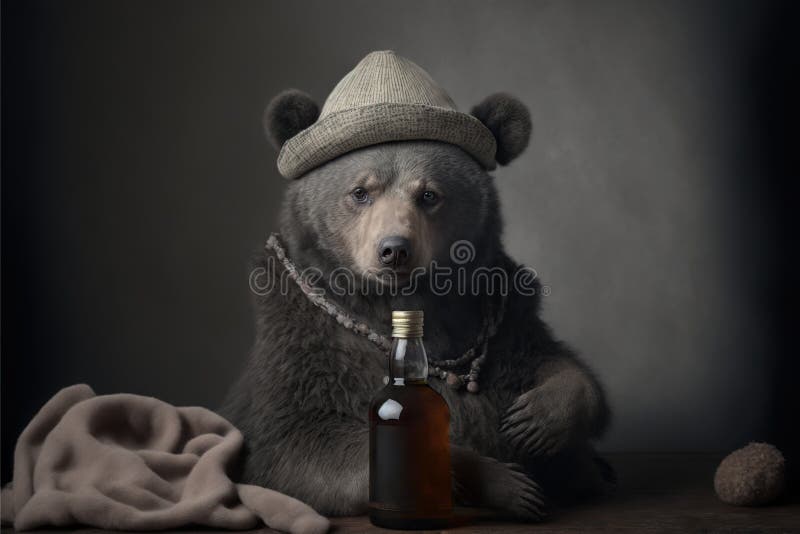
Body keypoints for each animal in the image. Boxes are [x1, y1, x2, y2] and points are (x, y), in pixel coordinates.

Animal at [220, 56, 612, 521]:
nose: (394, 250)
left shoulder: (502, 315)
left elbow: (552, 361)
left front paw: (536, 419)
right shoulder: (307, 341)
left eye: (428, 194)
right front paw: (504, 483)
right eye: (360, 191)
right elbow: (300, 446)